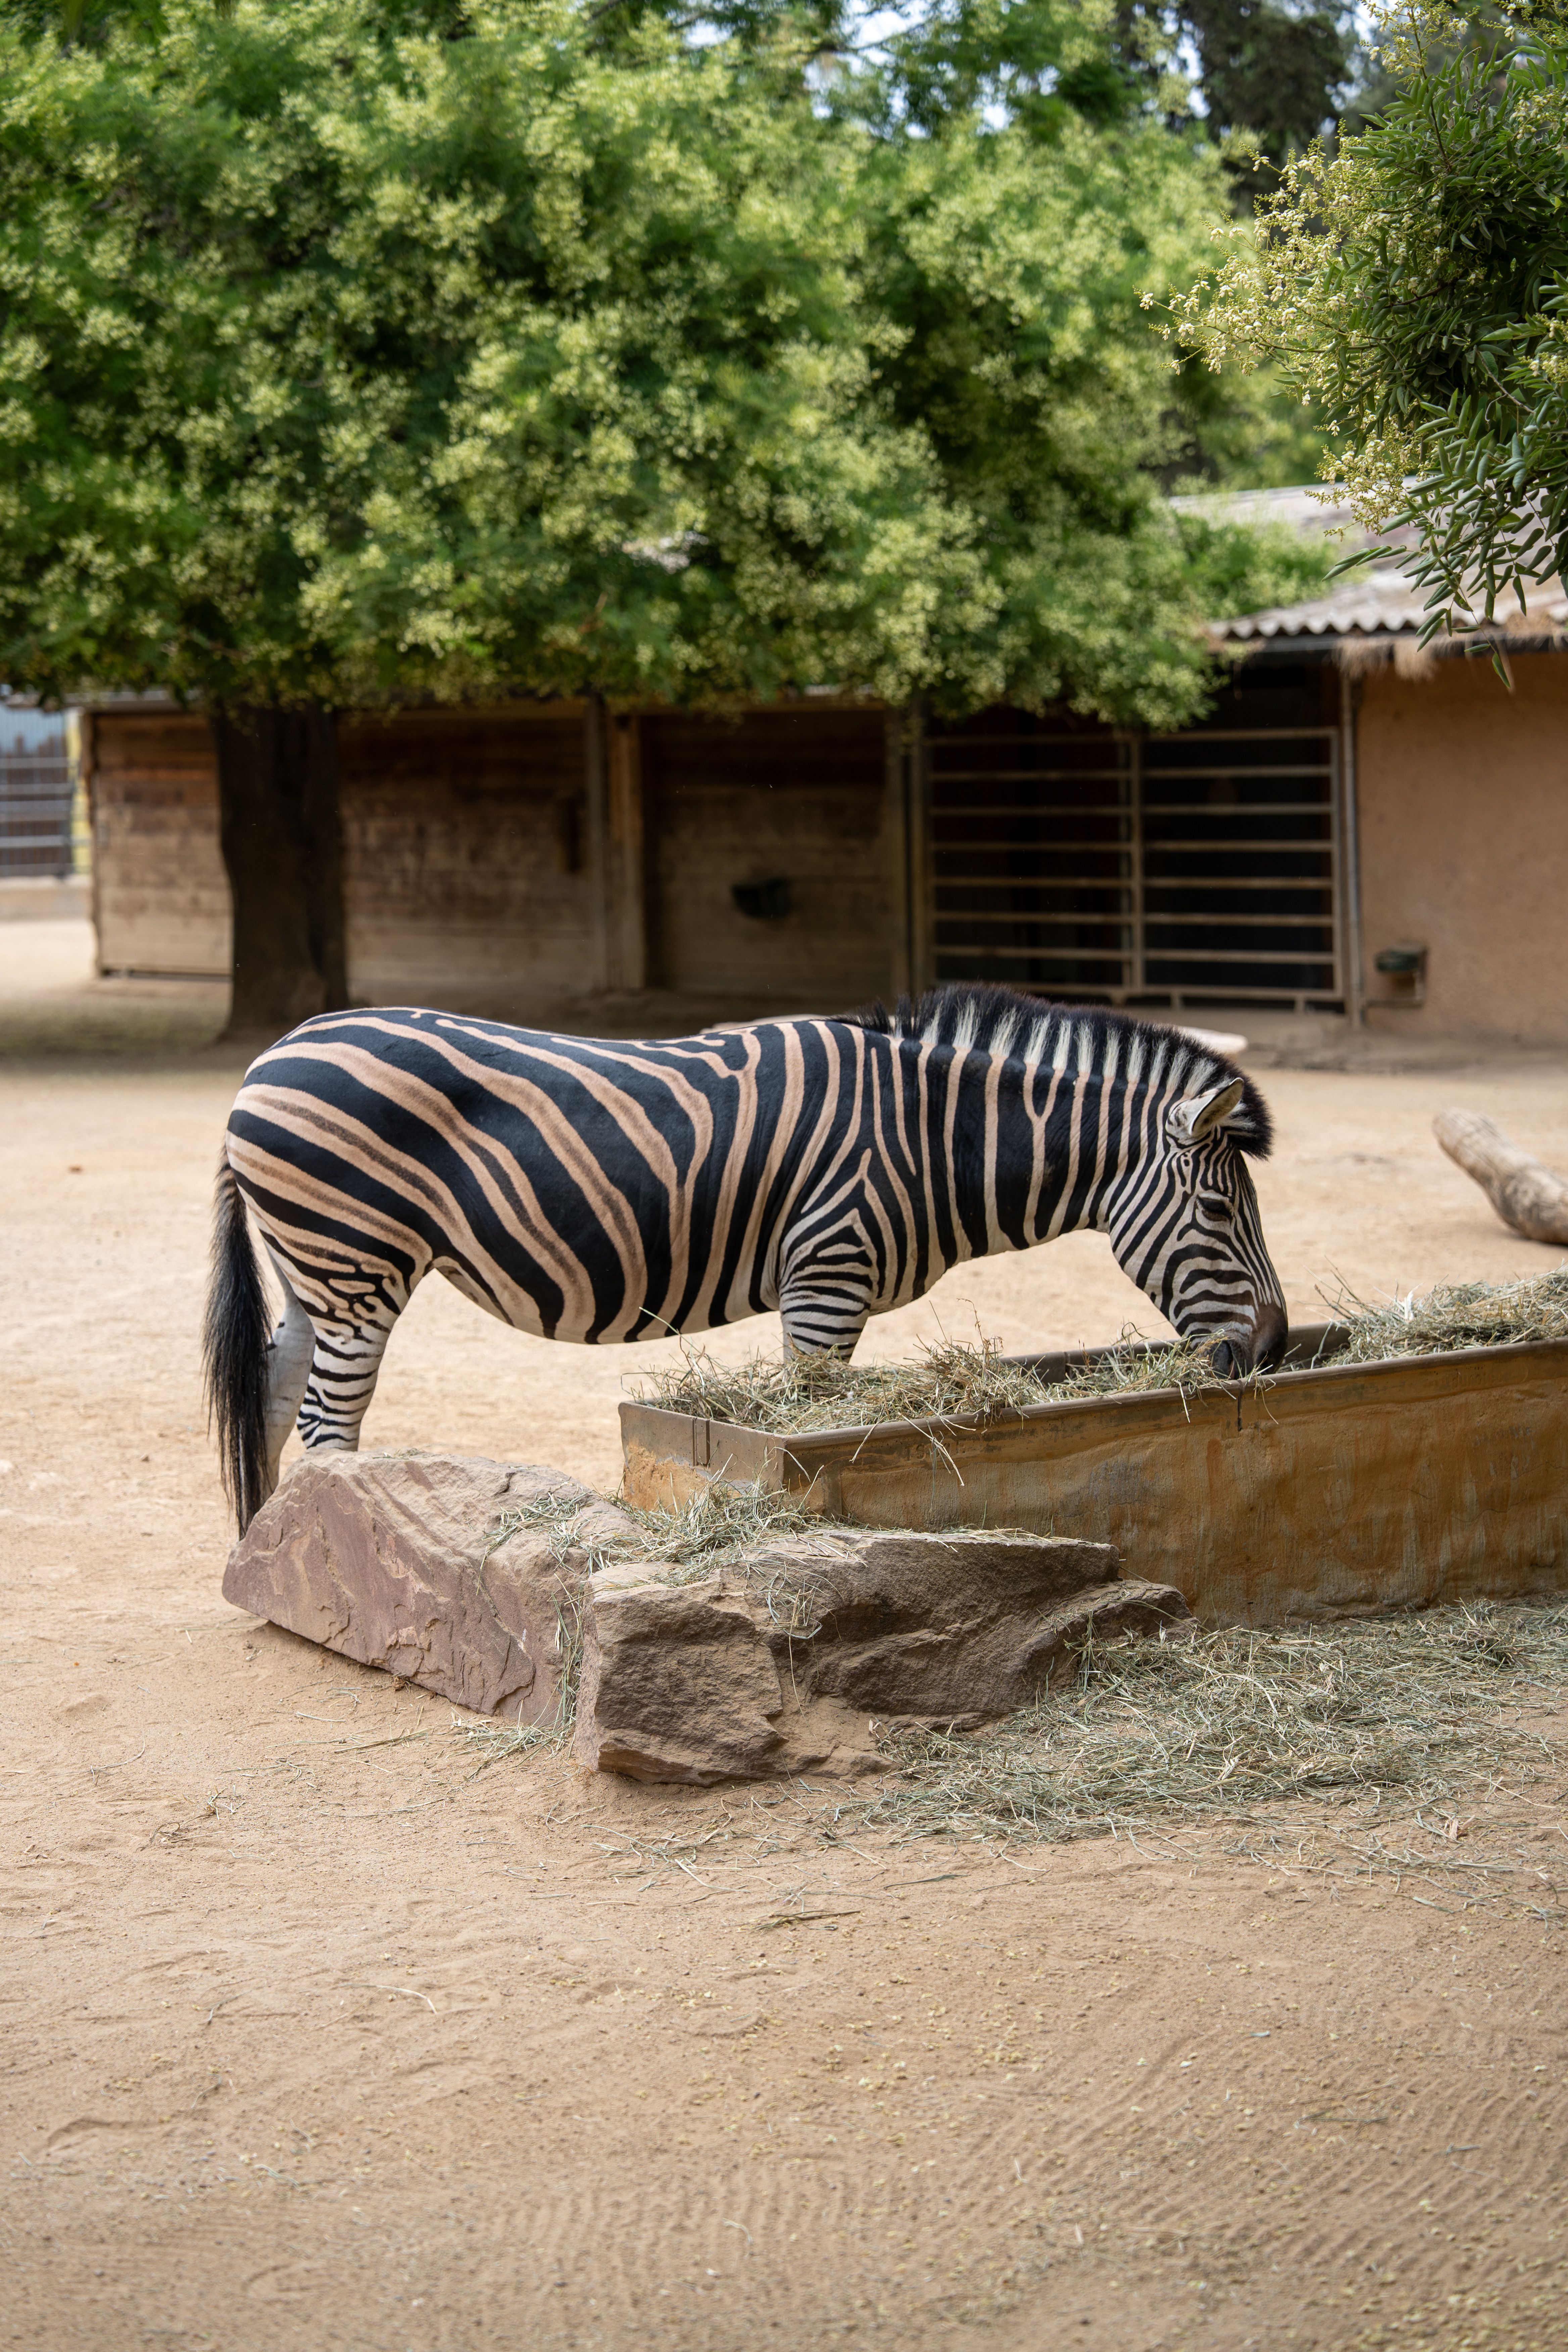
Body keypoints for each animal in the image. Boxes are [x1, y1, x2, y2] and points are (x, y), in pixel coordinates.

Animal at [204, 984, 1287, 1531]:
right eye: (1218, 1208)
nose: (1274, 1351)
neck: (935, 1136)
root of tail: (271, 1057)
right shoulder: (828, 1276)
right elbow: (810, 1425)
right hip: (358, 1261)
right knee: (327, 1426)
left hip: (315, 1273)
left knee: (273, 1396)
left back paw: (267, 1560)